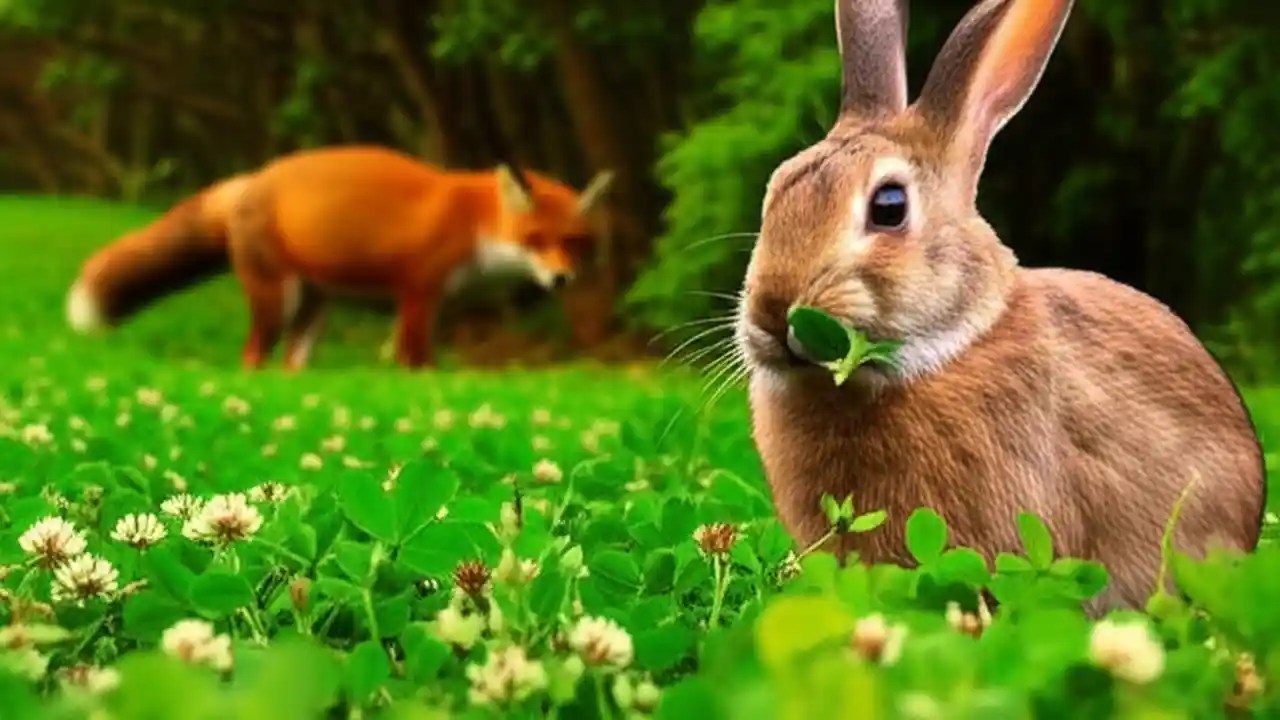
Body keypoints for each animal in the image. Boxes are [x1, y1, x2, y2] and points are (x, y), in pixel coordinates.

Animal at [65, 144, 614, 370]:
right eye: (536, 239)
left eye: (575, 242)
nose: (563, 278)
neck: (474, 221)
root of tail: (251, 179)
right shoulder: (418, 288)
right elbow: (417, 359)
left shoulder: (435, 301)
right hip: (279, 298)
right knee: (252, 355)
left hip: (315, 308)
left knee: (292, 362)